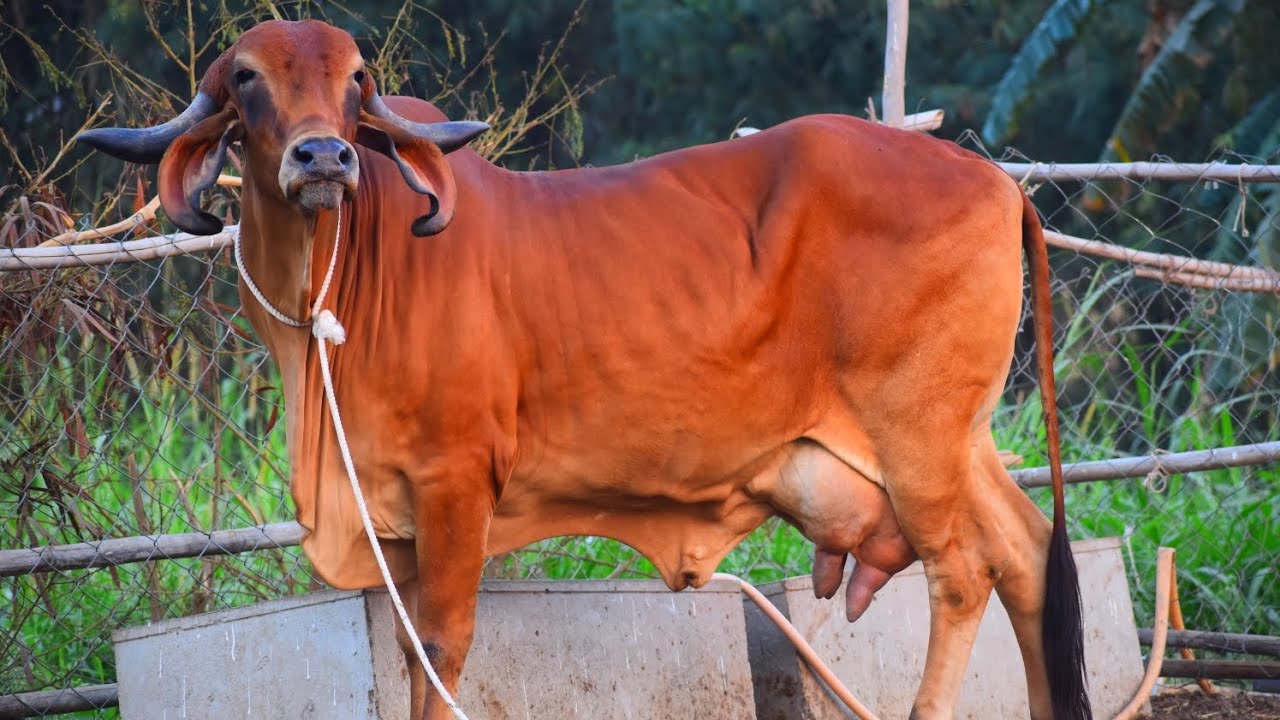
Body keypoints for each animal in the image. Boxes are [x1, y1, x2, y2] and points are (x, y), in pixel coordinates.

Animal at [78, 19, 1090, 720]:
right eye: (247, 78)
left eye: (354, 78)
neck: (334, 296)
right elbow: (408, 651)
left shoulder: (456, 484)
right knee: (1029, 555)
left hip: (920, 439)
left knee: (963, 573)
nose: (324, 155)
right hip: (959, 443)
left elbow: (441, 649)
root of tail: (996, 182)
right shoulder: (393, 512)